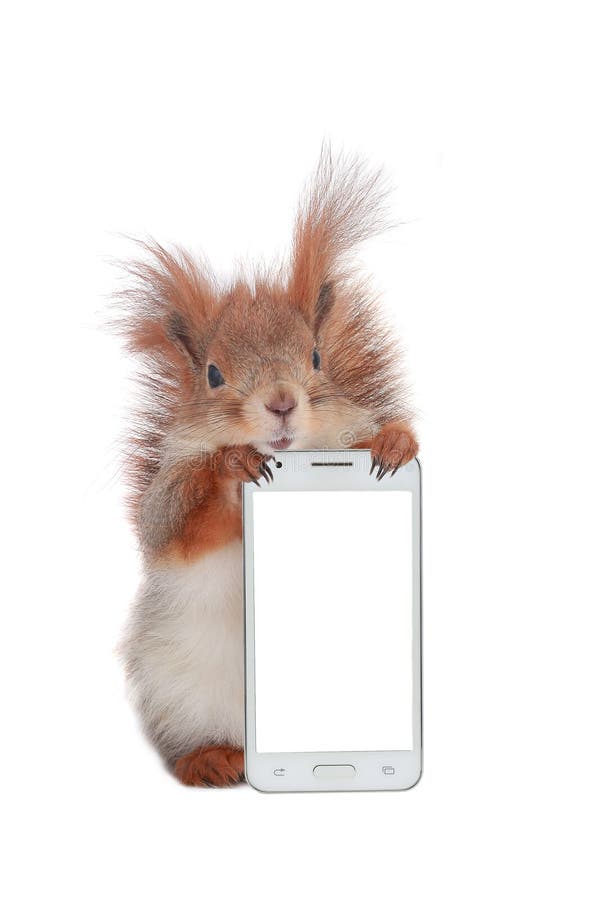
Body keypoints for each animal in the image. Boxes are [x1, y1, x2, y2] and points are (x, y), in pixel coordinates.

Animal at [117, 147, 418, 786]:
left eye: (316, 357)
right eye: (212, 374)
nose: (281, 402)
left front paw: (396, 440)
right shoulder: (169, 491)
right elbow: (173, 522)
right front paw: (232, 464)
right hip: (176, 688)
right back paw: (212, 758)